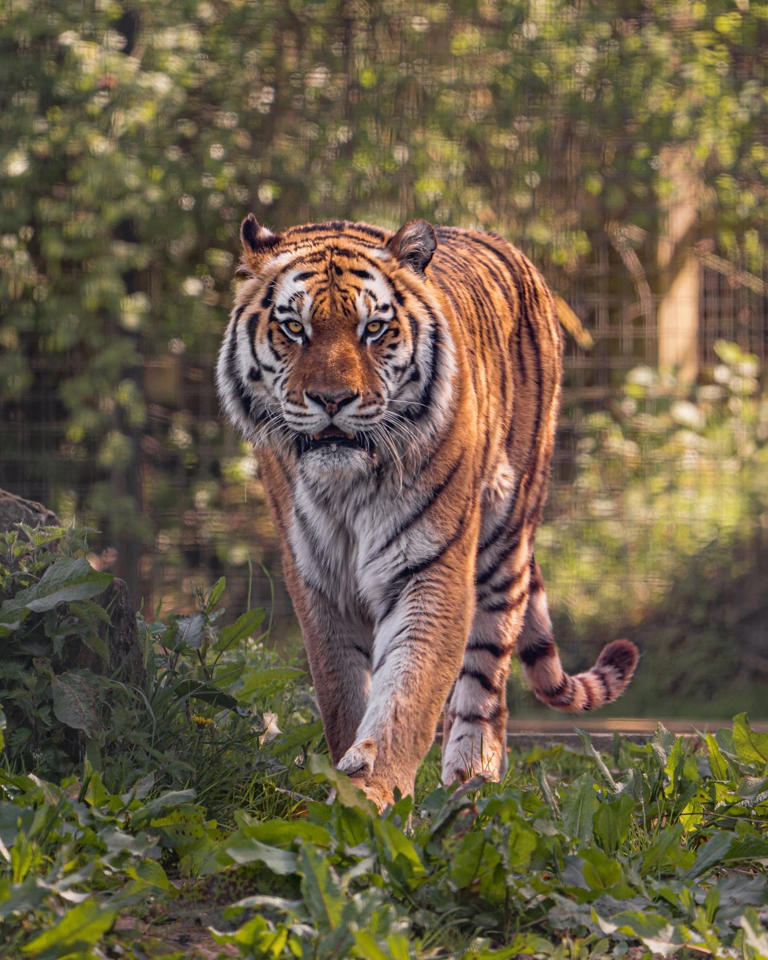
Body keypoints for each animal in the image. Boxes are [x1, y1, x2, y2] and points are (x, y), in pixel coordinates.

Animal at [217, 215, 639, 809]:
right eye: (294, 328)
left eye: (374, 329)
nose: (332, 399)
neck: (346, 487)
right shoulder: (317, 579)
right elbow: (343, 694)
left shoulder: (430, 568)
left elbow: (406, 697)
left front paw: (368, 800)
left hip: (505, 537)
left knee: (486, 675)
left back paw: (472, 779)